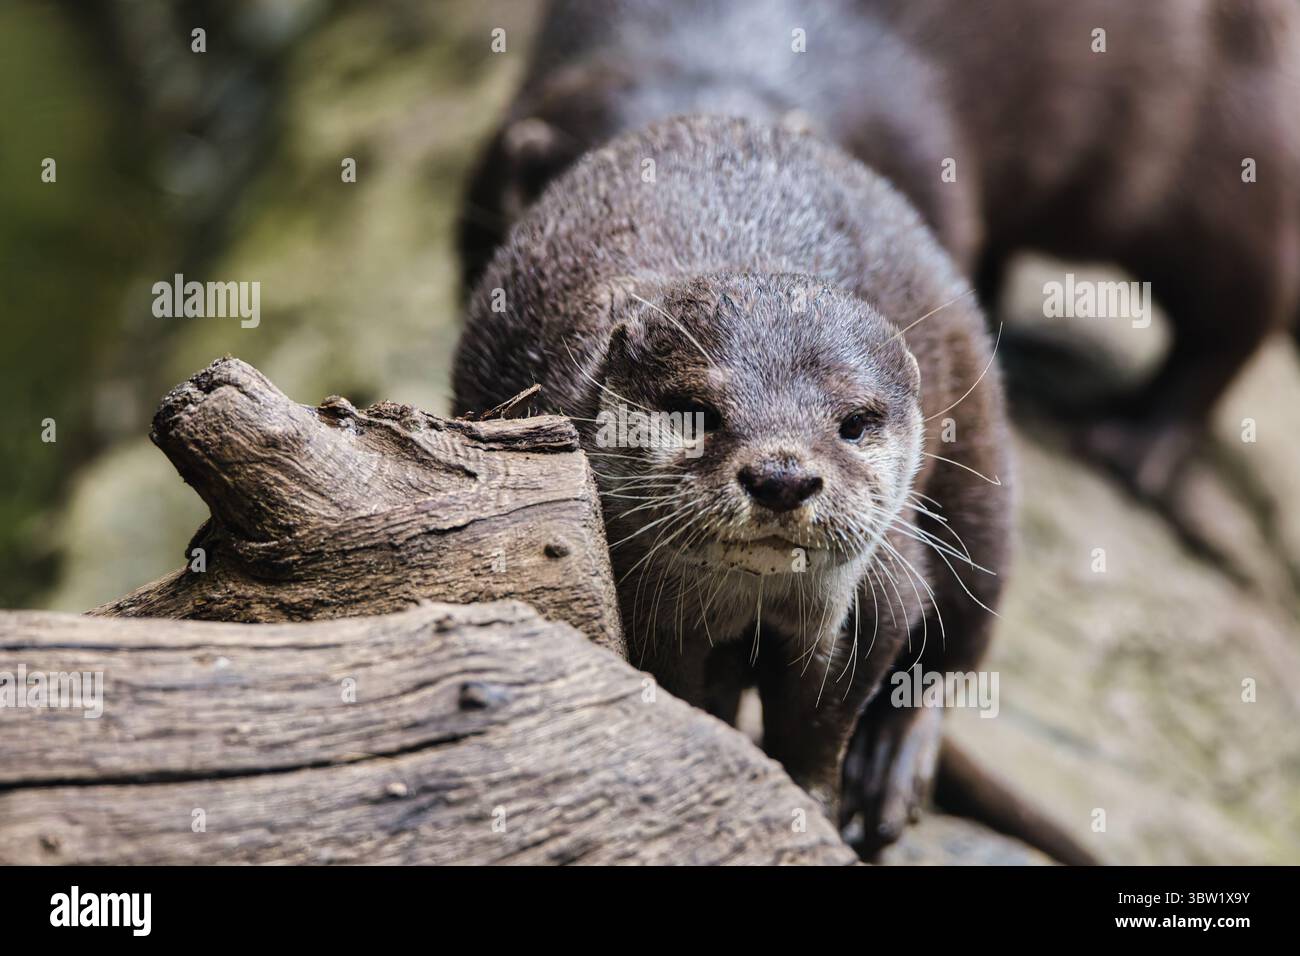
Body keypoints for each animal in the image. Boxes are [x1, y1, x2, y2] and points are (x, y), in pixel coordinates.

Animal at [453, 116, 1011, 842]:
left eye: (854, 422)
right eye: (697, 412)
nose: (782, 475)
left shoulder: (884, 587)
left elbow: (823, 725)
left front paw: (814, 799)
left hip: (983, 470)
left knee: (959, 640)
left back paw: (891, 770)